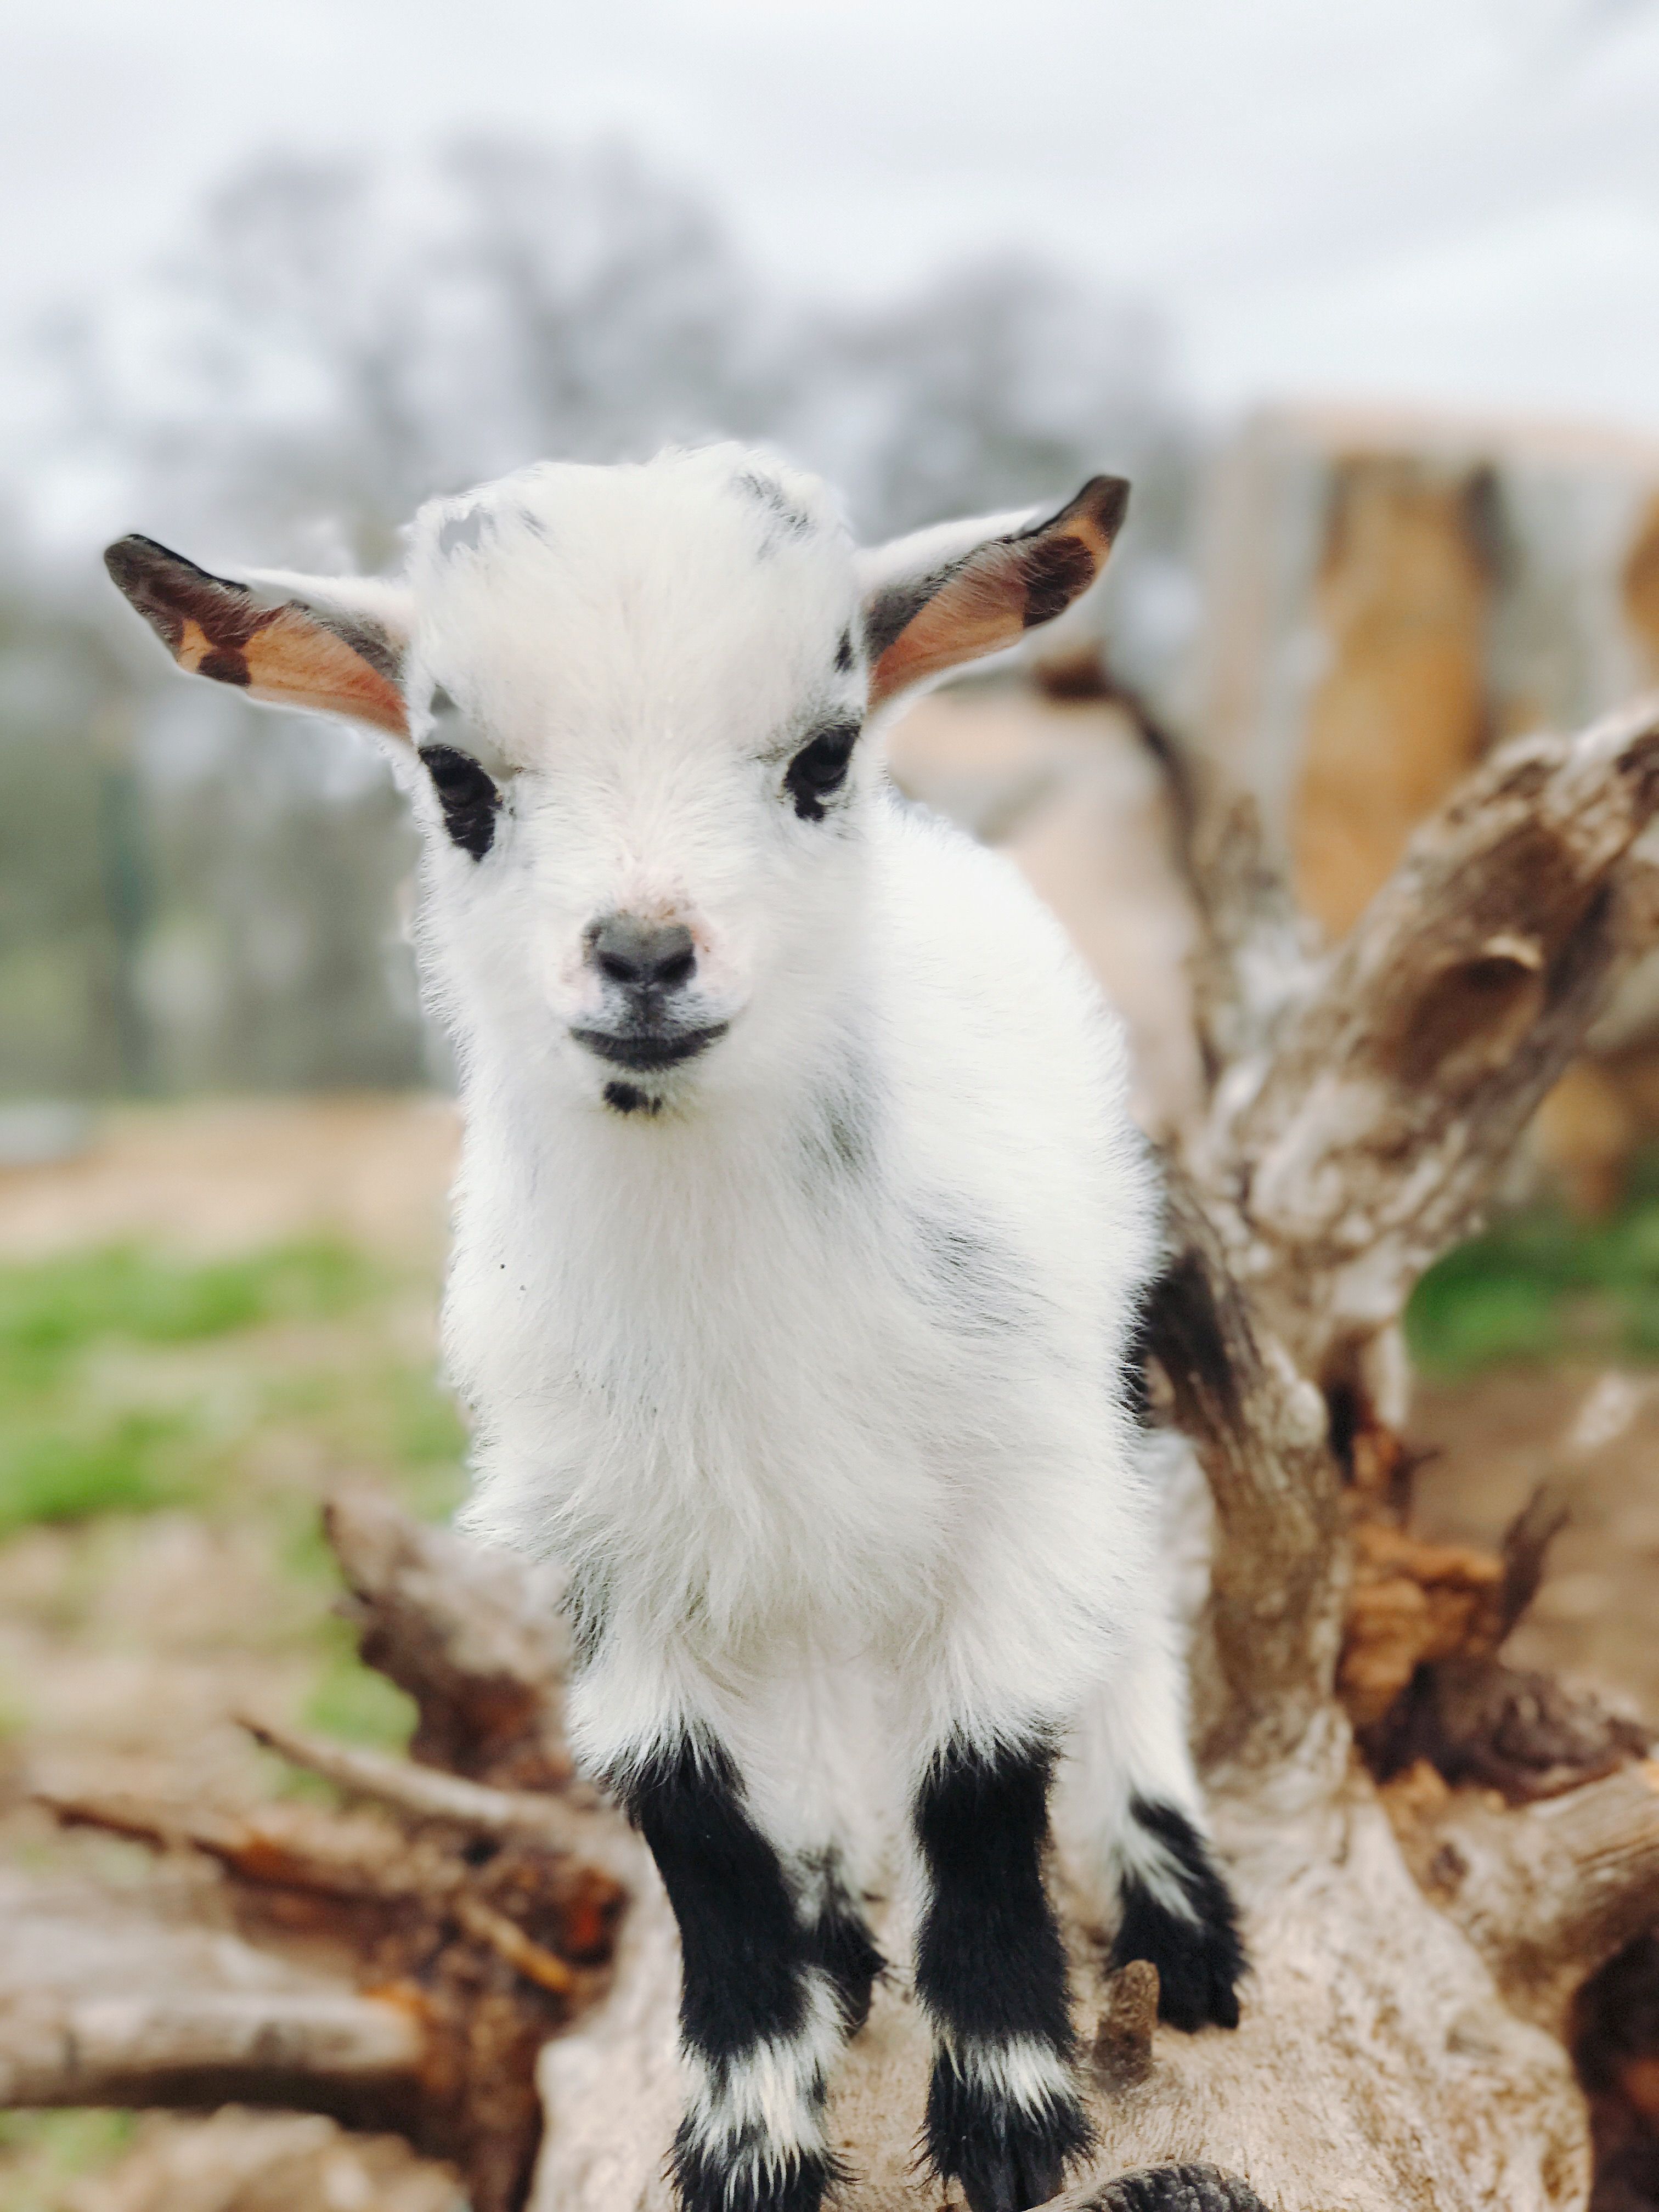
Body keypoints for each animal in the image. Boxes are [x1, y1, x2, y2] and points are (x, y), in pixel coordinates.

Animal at [106, 443, 1244, 2212]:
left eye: (823, 755)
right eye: (455, 781)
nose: (644, 957)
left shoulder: (1012, 1479)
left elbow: (983, 1774)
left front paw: (1007, 2112)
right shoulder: (616, 1544)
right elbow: (695, 1824)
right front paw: (751, 2128)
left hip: (1102, 1380)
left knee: (1122, 1619)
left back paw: (1171, 1909)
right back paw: (842, 1920)